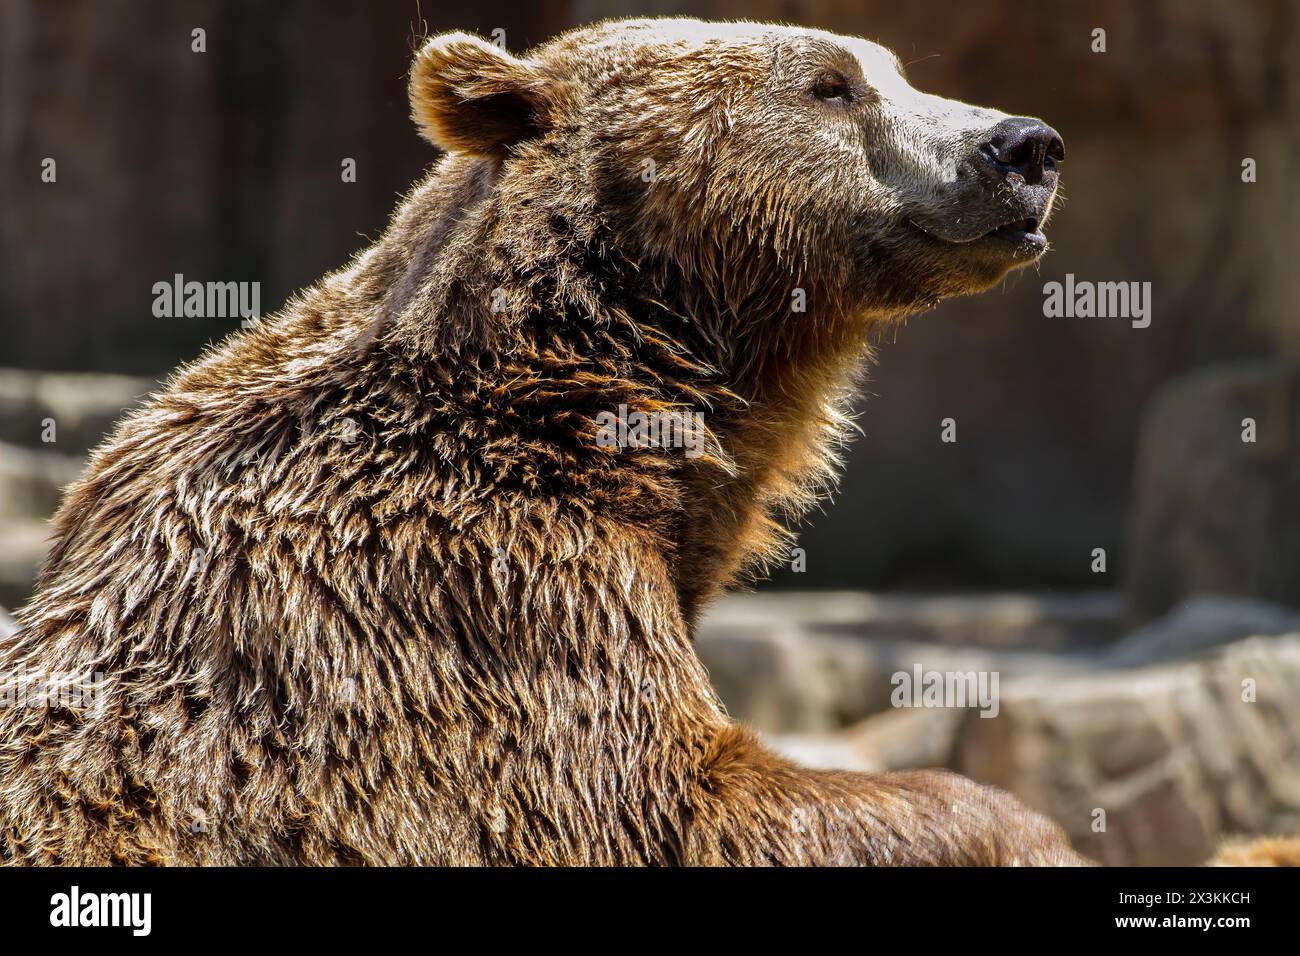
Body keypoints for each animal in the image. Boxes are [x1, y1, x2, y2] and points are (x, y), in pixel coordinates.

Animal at [0, 17, 1080, 865]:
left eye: (895, 68)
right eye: (831, 82)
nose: (1025, 144)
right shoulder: (473, 590)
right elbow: (668, 800)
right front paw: (1024, 830)